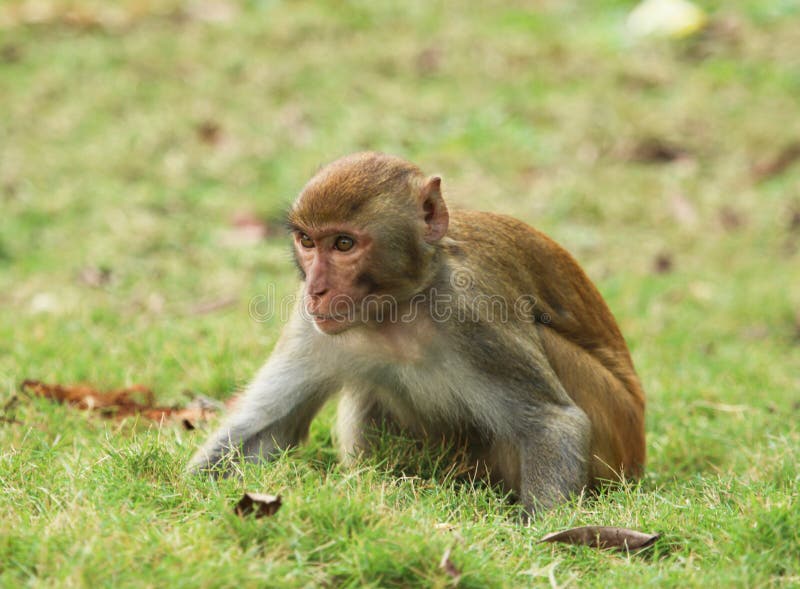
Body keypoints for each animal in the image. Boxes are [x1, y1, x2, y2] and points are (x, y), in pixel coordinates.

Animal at [187, 152, 646, 513]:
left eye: (343, 244)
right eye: (307, 241)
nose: (316, 289)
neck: (400, 306)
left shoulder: (475, 314)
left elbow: (554, 423)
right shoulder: (310, 325)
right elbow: (271, 427)